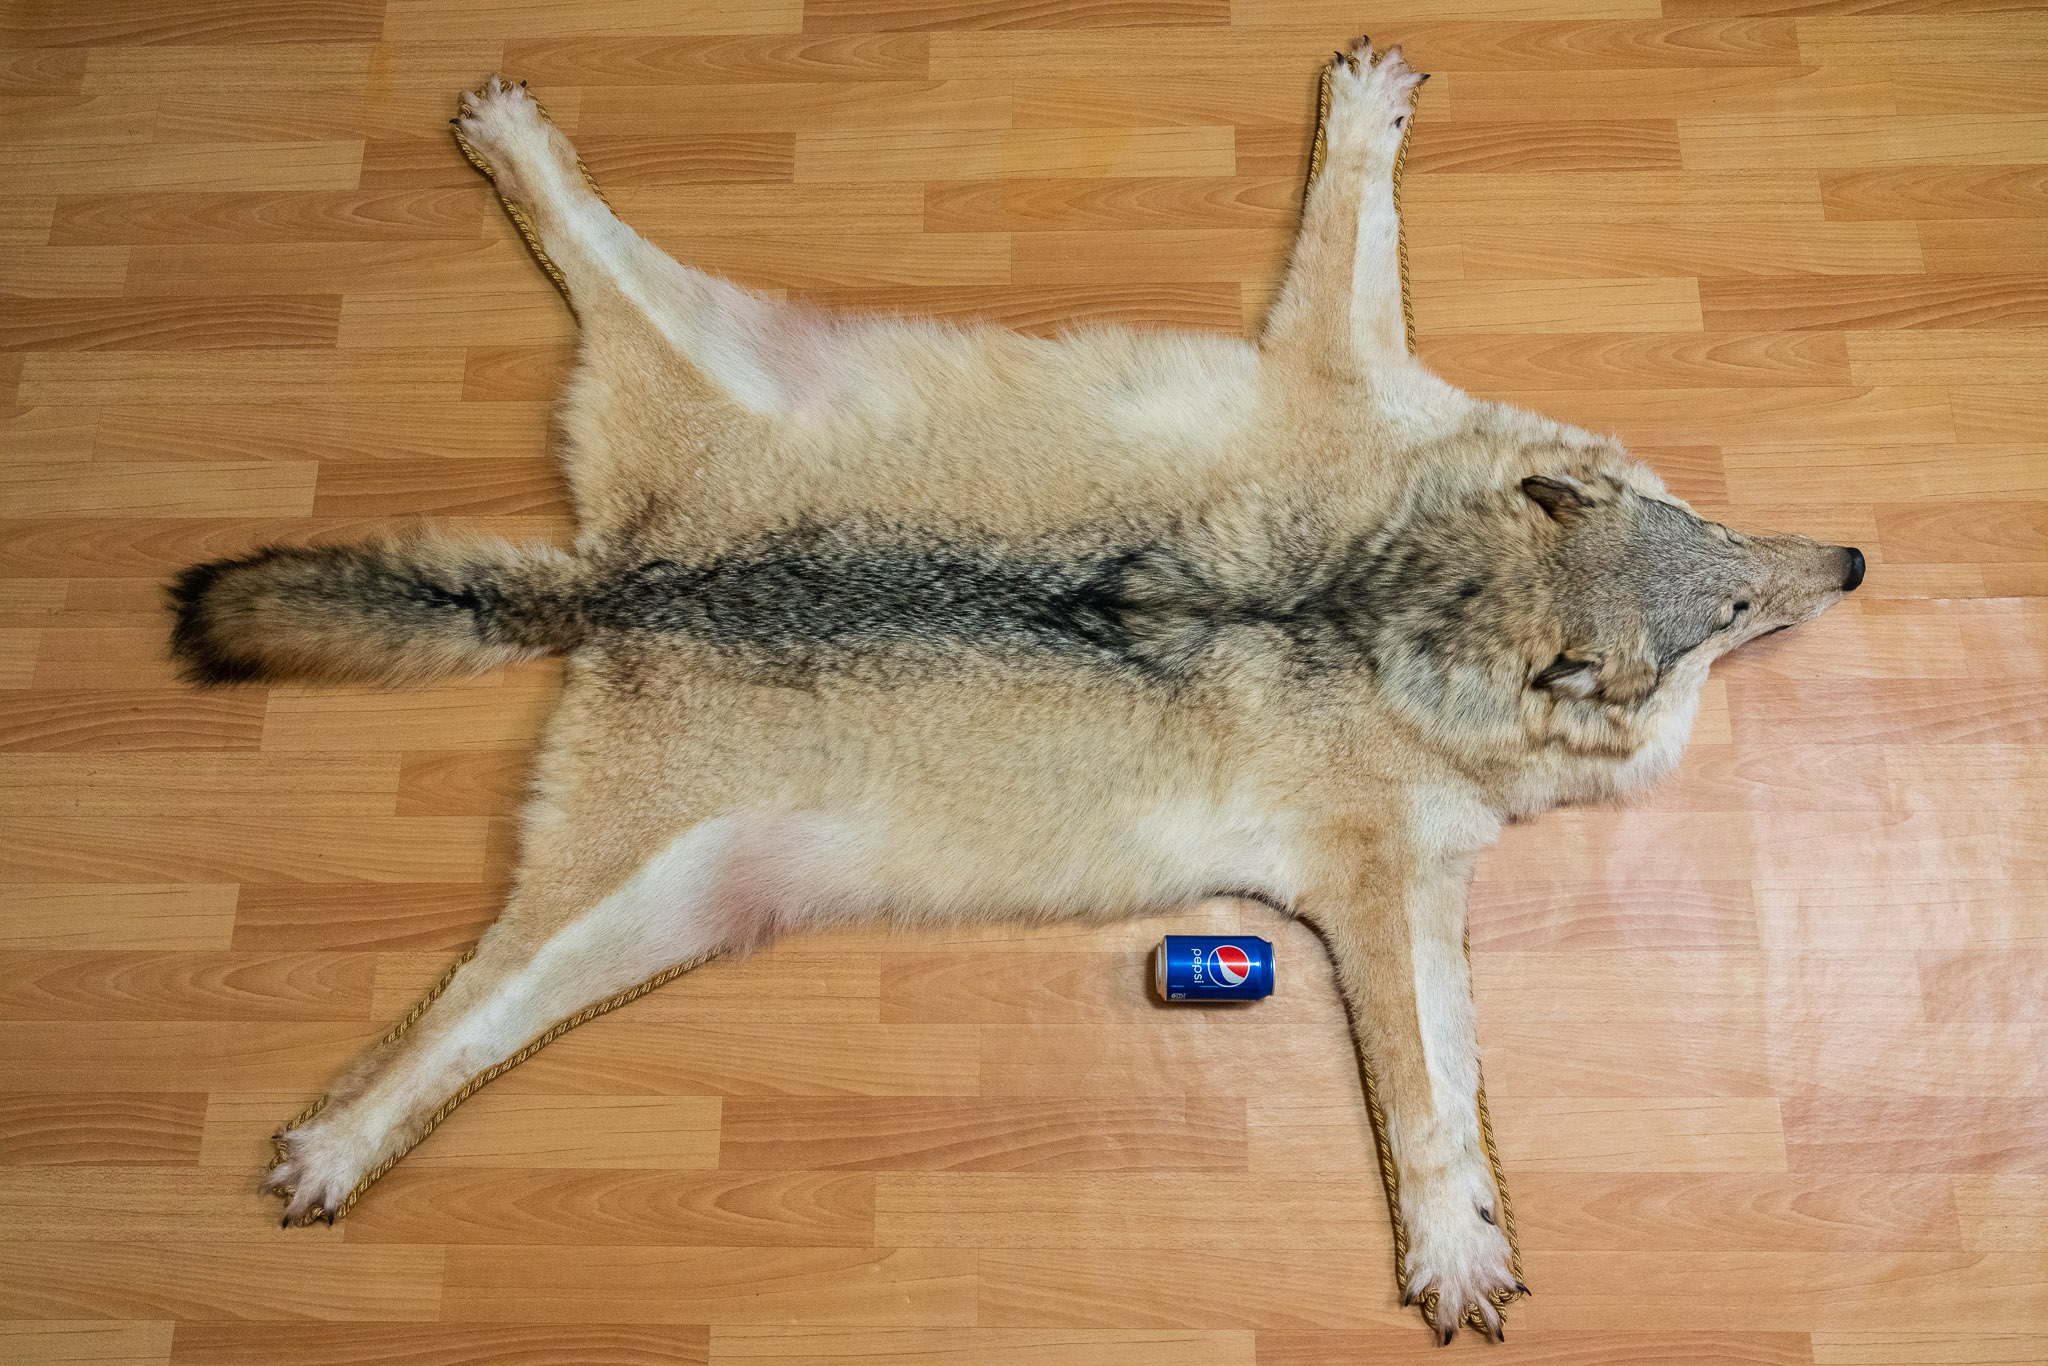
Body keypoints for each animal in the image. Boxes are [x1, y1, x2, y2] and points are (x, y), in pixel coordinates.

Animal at [166, 41, 1863, 1342]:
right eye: (1724, 604)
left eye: (1711, 545)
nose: (1848, 559)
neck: (1377, 596)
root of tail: (607, 587)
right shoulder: (1383, 871)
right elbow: (1432, 1110)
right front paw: (1451, 1244)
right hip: (627, 899)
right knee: (440, 1044)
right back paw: (338, 1144)